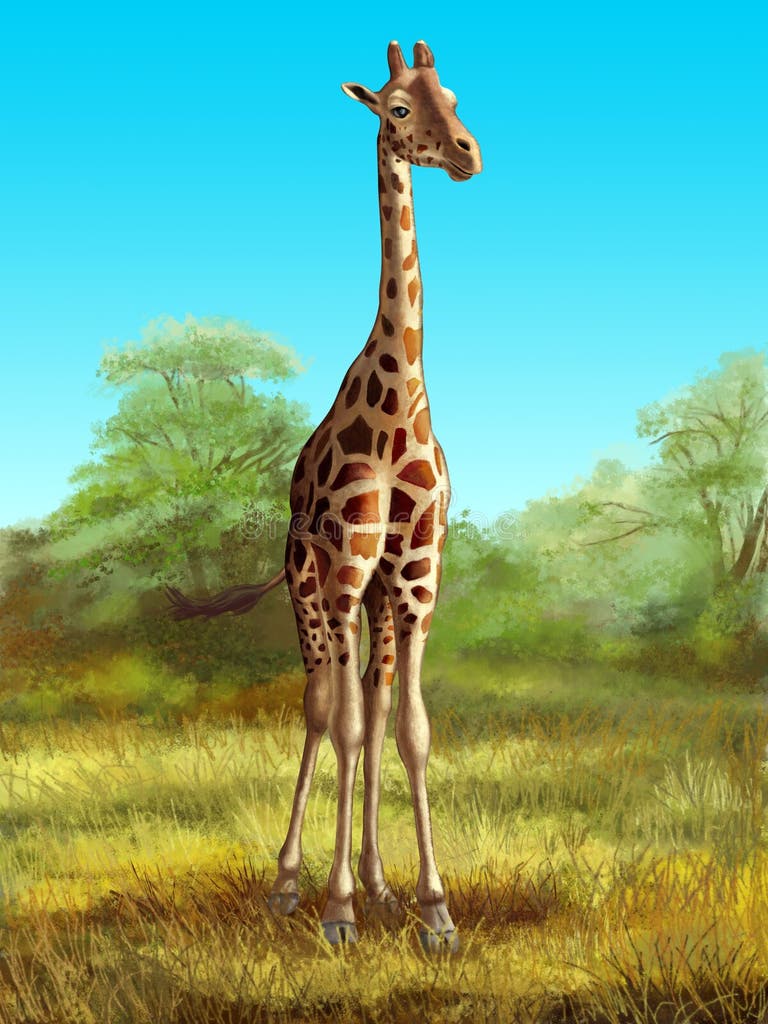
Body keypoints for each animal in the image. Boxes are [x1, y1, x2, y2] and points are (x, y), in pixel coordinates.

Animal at [167, 39, 482, 950]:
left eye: (453, 96)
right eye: (399, 109)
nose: (468, 154)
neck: (401, 400)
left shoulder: (415, 577)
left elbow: (407, 729)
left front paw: (431, 909)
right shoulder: (345, 570)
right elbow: (337, 722)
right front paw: (335, 907)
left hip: (373, 597)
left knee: (367, 710)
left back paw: (377, 887)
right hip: (310, 589)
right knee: (318, 707)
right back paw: (291, 884)